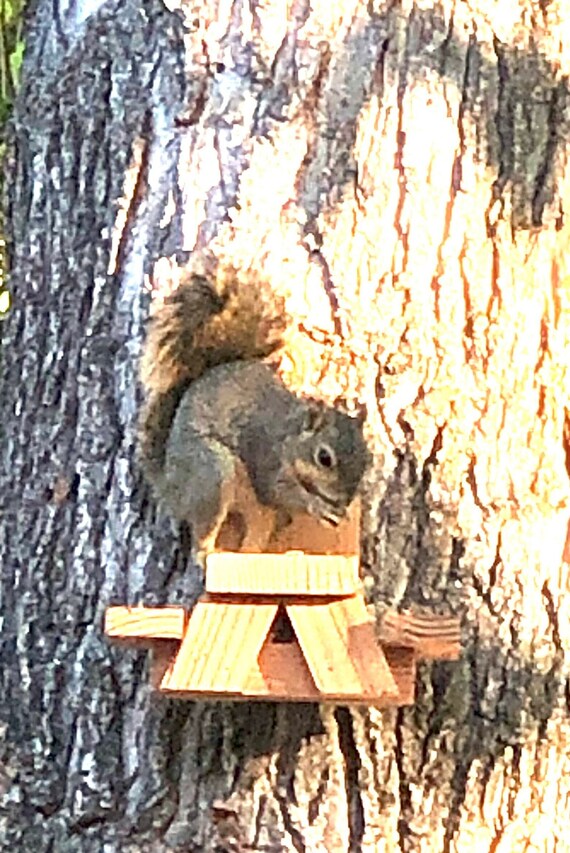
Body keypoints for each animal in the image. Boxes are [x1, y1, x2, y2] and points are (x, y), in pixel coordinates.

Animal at [139, 273, 369, 561]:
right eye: (324, 458)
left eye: (366, 460)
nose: (343, 500)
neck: (290, 436)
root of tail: (169, 486)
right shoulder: (265, 456)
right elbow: (276, 492)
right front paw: (316, 506)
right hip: (211, 473)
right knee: (202, 539)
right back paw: (211, 552)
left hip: (254, 510)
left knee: (256, 534)